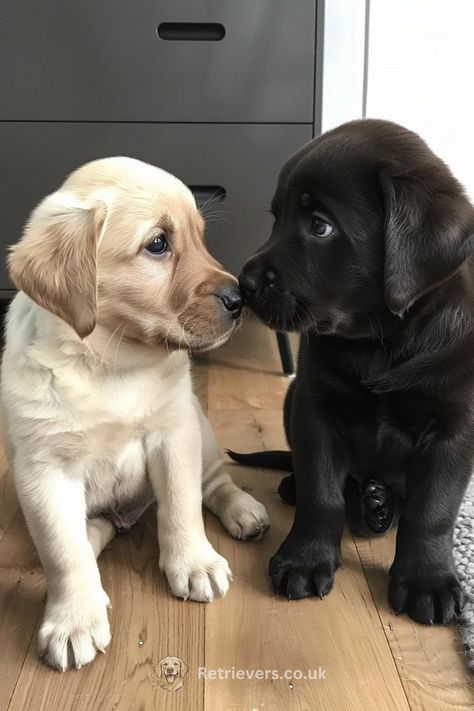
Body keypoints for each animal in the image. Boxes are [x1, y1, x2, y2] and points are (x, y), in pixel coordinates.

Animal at [0, 157, 268, 672]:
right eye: (158, 244)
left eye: (200, 237)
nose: (240, 298)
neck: (111, 361)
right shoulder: (44, 470)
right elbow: (62, 551)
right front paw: (73, 620)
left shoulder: (175, 433)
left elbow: (182, 506)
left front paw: (194, 563)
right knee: (86, 535)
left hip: (203, 434)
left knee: (214, 483)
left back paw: (244, 510)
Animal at [229, 119, 474, 624]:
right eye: (276, 217)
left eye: (320, 226)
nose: (243, 283)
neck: (382, 345)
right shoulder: (314, 408)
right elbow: (322, 491)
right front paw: (306, 558)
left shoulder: (453, 430)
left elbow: (433, 510)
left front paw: (428, 580)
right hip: (291, 398)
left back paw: (379, 503)